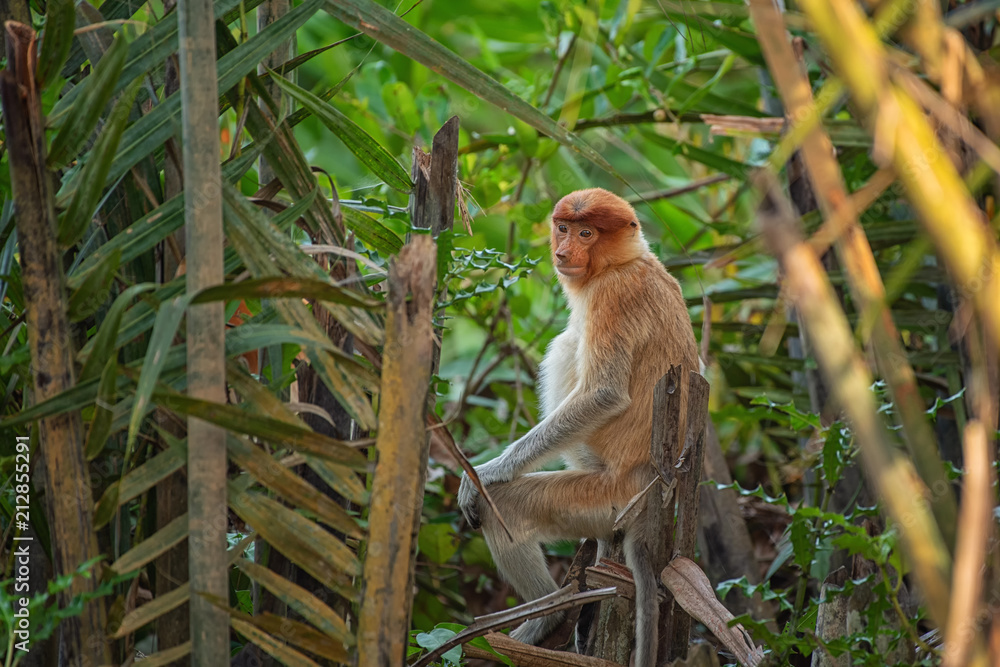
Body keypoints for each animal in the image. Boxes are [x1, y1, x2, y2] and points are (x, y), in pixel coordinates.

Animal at [457, 188, 699, 665]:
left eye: (588, 233)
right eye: (565, 228)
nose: (563, 252)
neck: (626, 261)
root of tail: (652, 485)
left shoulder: (612, 295)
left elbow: (603, 394)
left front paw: (486, 474)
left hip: (603, 498)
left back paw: (545, 618)